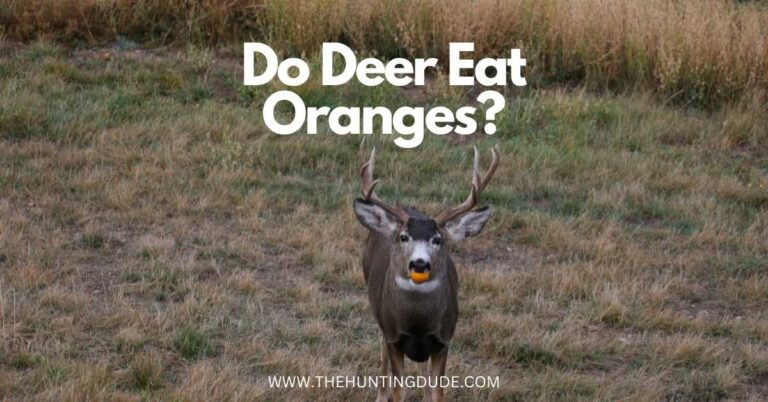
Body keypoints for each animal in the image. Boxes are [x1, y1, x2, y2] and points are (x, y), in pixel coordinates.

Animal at [352, 146, 499, 402]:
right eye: (404, 237)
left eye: (438, 240)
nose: (419, 264)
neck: (418, 323)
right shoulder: (394, 337)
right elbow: (399, 390)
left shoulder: (444, 338)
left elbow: (438, 390)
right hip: (379, 314)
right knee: (382, 352)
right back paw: (380, 395)